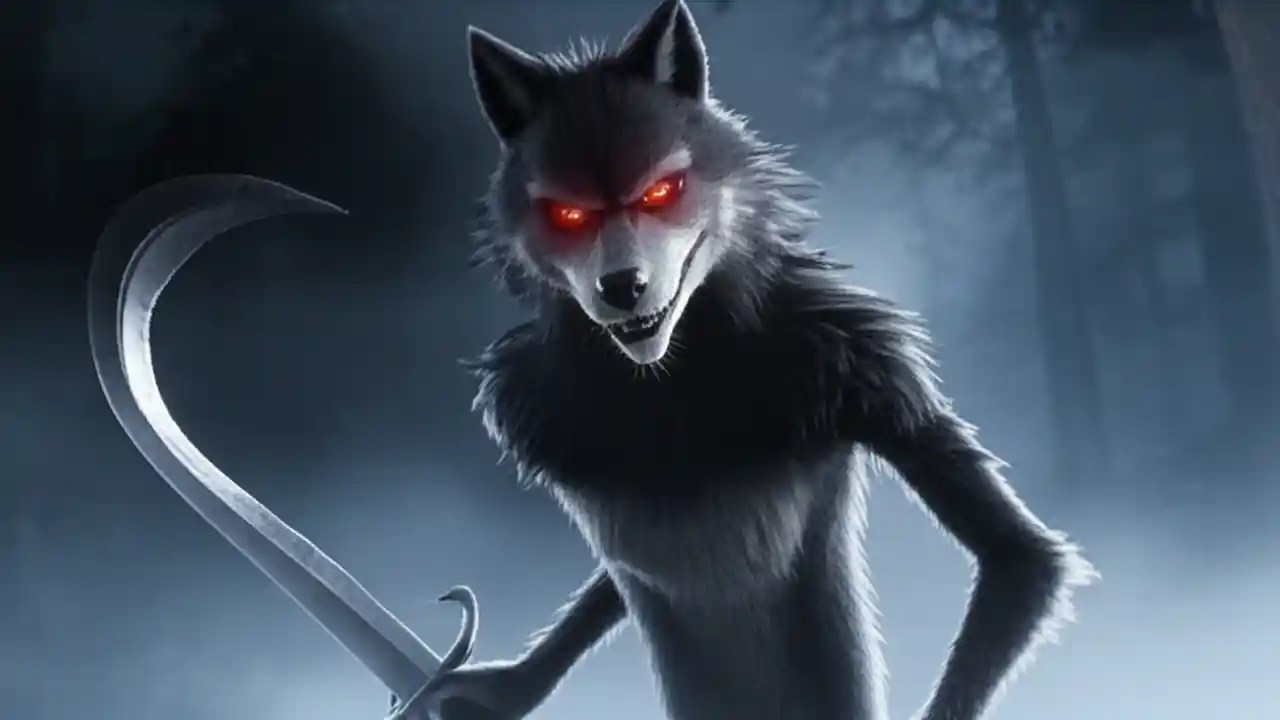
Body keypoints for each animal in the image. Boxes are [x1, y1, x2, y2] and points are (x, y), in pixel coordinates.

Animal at [400, 2, 1095, 719]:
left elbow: (1020, 557)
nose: (622, 287)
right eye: (569, 214)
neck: (670, 373)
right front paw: (503, 689)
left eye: (660, 193)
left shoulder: (869, 365)